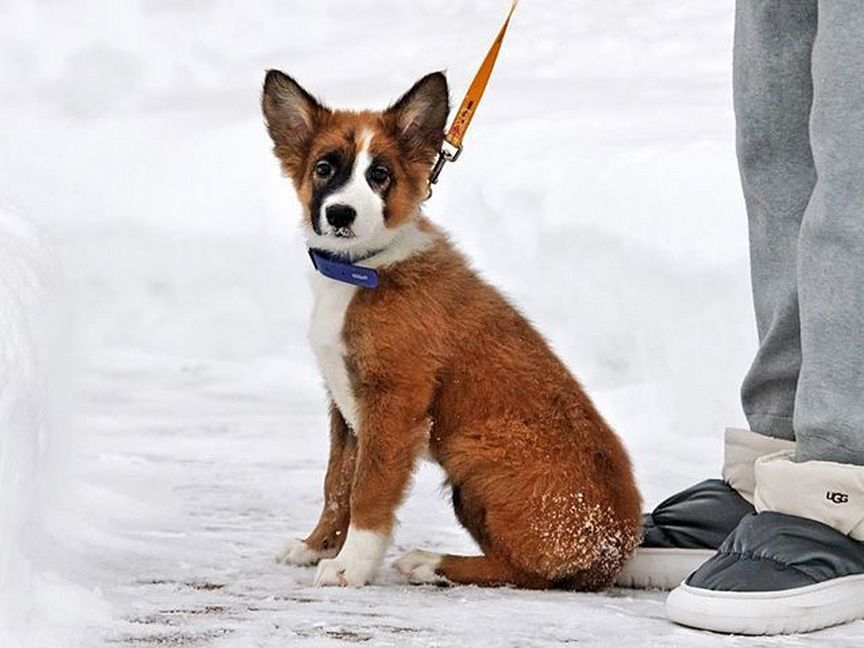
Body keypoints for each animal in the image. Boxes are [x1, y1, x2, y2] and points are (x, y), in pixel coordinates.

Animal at [264, 68, 640, 588]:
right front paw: (316, 546)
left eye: (379, 175)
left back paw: (430, 563)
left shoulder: (394, 405)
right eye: (324, 168)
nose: (340, 214)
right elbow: (336, 483)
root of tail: (615, 551)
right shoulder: (345, 408)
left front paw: (351, 565)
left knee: (523, 572)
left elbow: (368, 490)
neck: (364, 267)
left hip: (472, 449)